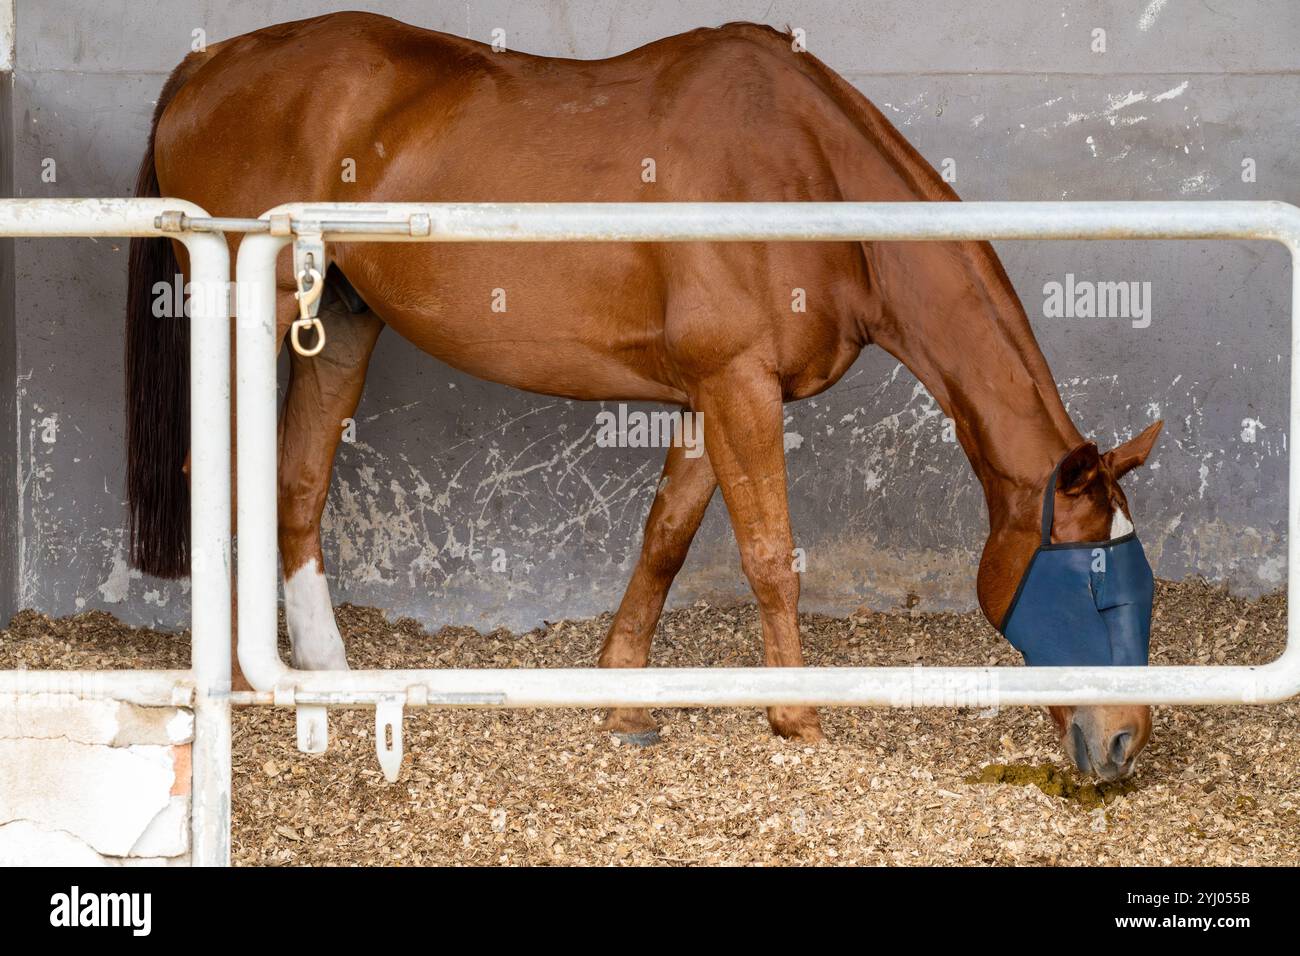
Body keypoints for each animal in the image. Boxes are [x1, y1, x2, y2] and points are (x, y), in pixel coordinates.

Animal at [125, 12, 1163, 780]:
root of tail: (206, 66)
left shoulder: (716, 394)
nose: (1121, 746)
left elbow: (666, 538)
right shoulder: (739, 383)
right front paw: (798, 719)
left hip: (338, 322)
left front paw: (621, 697)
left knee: (298, 483)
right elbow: (770, 557)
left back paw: (324, 675)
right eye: (1092, 587)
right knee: (216, 470)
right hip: (248, 310)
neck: (804, 172)